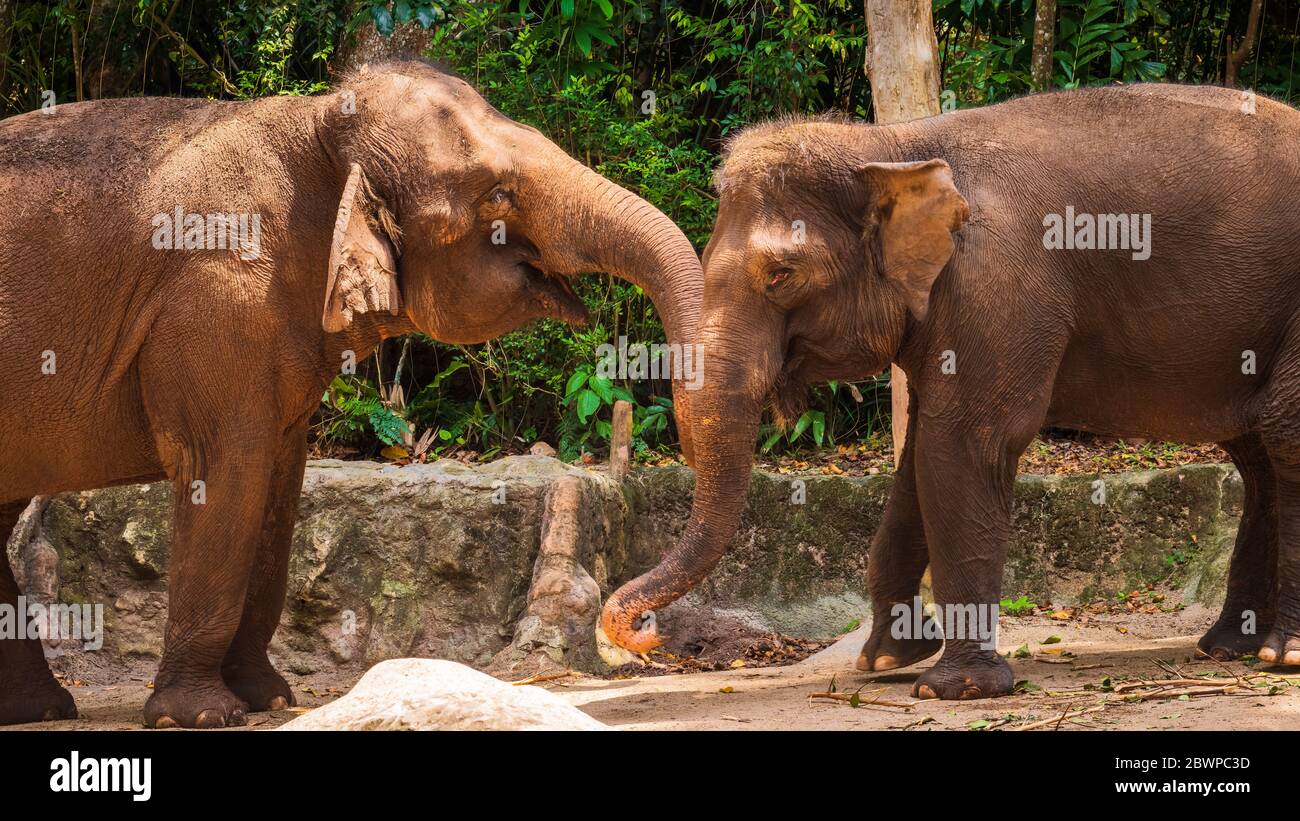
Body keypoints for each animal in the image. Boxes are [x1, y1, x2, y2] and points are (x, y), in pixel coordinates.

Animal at [0, 60, 705, 727]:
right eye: (497, 197)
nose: (641, 632)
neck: (314, 127)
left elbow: (278, 488)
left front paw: (268, 699)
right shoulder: (210, 300)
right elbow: (225, 473)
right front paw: (200, 715)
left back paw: (40, 708)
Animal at [599, 83, 1300, 699]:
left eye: (780, 274)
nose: (643, 634)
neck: (894, 145)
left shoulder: (1000, 284)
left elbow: (965, 446)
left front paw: (954, 689)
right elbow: (920, 458)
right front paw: (886, 659)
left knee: (1283, 435)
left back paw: (1282, 655)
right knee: (1260, 456)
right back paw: (1229, 647)